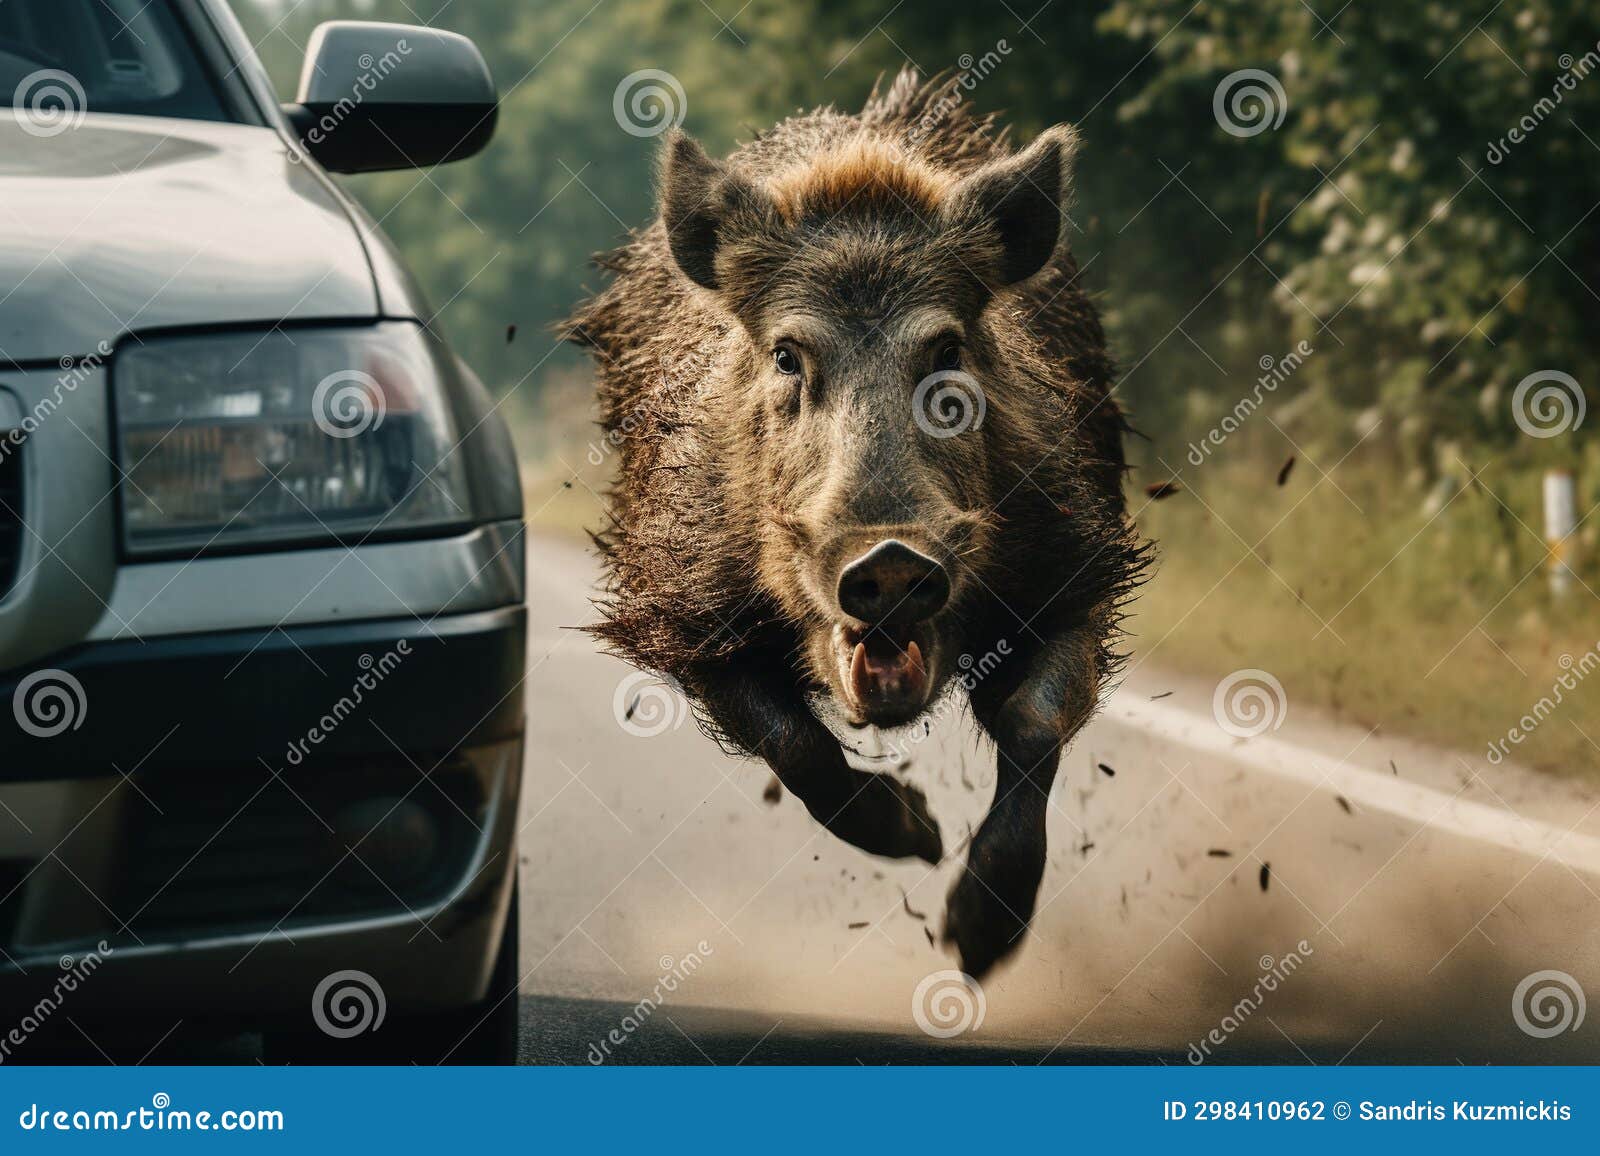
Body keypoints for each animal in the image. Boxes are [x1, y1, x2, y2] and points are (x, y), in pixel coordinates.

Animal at [567, 69, 1147, 978]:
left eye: (946, 352)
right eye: (786, 356)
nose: (889, 559)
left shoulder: (1073, 567)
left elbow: (1033, 722)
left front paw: (977, 943)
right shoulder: (684, 605)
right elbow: (796, 747)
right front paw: (921, 834)